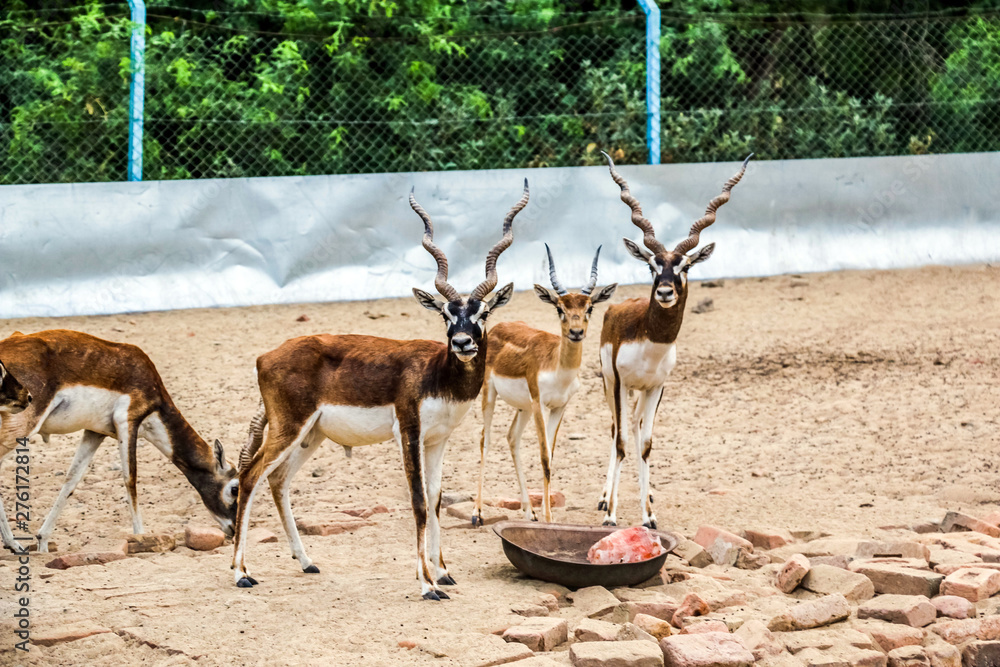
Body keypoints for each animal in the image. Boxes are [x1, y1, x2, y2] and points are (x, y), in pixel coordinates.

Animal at [0, 330, 239, 552]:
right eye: (234, 488)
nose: (233, 528)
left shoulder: (95, 432)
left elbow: (72, 480)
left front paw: (42, 542)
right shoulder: (127, 422)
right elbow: (130, 479)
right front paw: (142, 536)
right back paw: (13, 544)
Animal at [231, 181, 527, 600]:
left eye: (483, 312)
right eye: (446, 314)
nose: (462, 342)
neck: (437, 374)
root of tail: (265, 356)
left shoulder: (438, 439)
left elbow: (436, 500)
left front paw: (443, 572)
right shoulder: (409, 431)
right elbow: (419, 502)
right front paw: (427, 585)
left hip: (311, 434)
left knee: (277, 480)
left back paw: (306, 562)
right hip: (289, 426)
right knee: (249, 476)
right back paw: (241, 573)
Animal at [471, 245, 616, 527]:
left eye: (589, 308)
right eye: (559, 308)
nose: (576, 332)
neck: (558, 367)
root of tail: (498, 328)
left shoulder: (559, 407)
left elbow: (550, 454)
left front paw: (547, 516)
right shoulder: (539, 404)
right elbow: (544, 458)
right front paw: (550, 519)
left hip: (523, 407)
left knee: (512, 438)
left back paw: (530, 511)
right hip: (491, 395)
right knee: (485, 439)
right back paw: (477, 513)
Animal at [596, 152, 751, 529]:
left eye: (685, 267)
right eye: (652, 266)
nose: (665, 292)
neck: (649, 344)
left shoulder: (657, 386)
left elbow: (646, 443)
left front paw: (649, 516)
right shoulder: (620, 382)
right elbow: (621, 441)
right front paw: (610, 516)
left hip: (641, 394)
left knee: (636, 428)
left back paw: (644, 495)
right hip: (609, 384)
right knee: (615, 429)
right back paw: (605, 499)